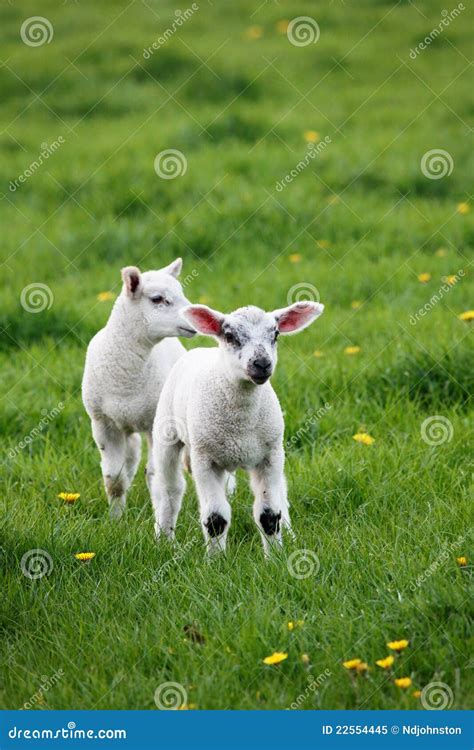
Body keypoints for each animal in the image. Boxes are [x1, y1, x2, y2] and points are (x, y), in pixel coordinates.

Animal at [82, 259, 196, 519]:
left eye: (182, 292)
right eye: (157, 299)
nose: (194, 317)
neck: (126, 380)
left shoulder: (156, 425)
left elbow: (155, 475)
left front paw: (157, 510)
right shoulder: (102, 423)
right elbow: (114, 478)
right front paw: (116, 519)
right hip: (126, 424)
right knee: (131, 456)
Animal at [151, 299, 324, 554]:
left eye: (276, 334)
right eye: (230, 335)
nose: (262, 363)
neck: (241, 426)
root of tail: (201, 350)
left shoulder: (270, 456)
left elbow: (269, 515)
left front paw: (276, 557)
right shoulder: (204, 460)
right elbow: (216, 518)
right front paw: (215, 560)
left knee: (281, 492)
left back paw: (291, 535)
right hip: (168, 434)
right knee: (170, 490)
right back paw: (164, 540)